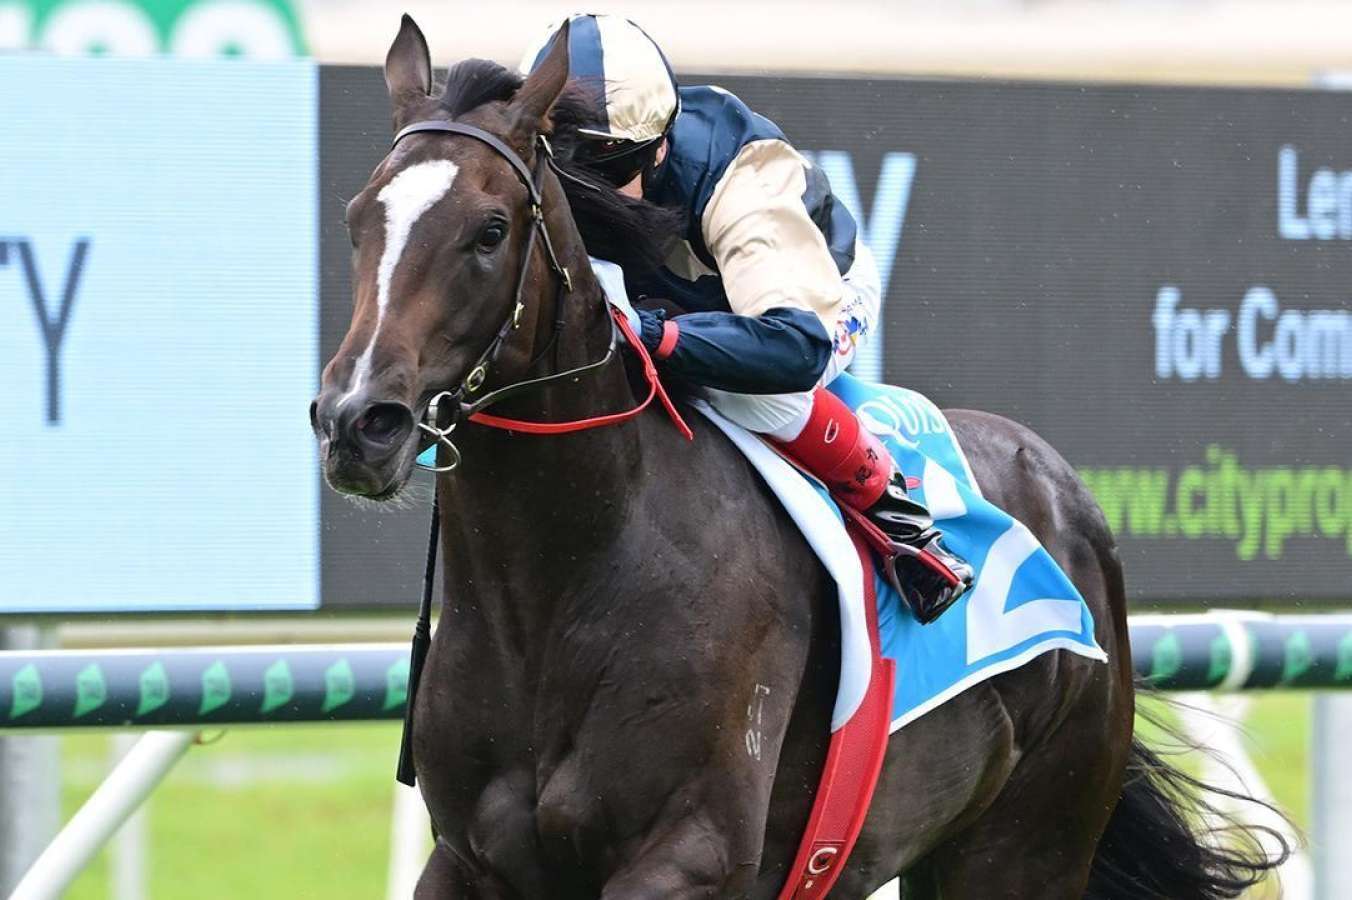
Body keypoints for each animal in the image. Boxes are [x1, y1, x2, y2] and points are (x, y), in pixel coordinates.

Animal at [310, 17, 1284, 898]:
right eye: (358, 220)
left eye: (488, 229)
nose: (360, 422)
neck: (561, 589)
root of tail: (1066, 493)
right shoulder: (470, 860)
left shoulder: (689, 857)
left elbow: (788, 335)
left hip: (1027, 844)